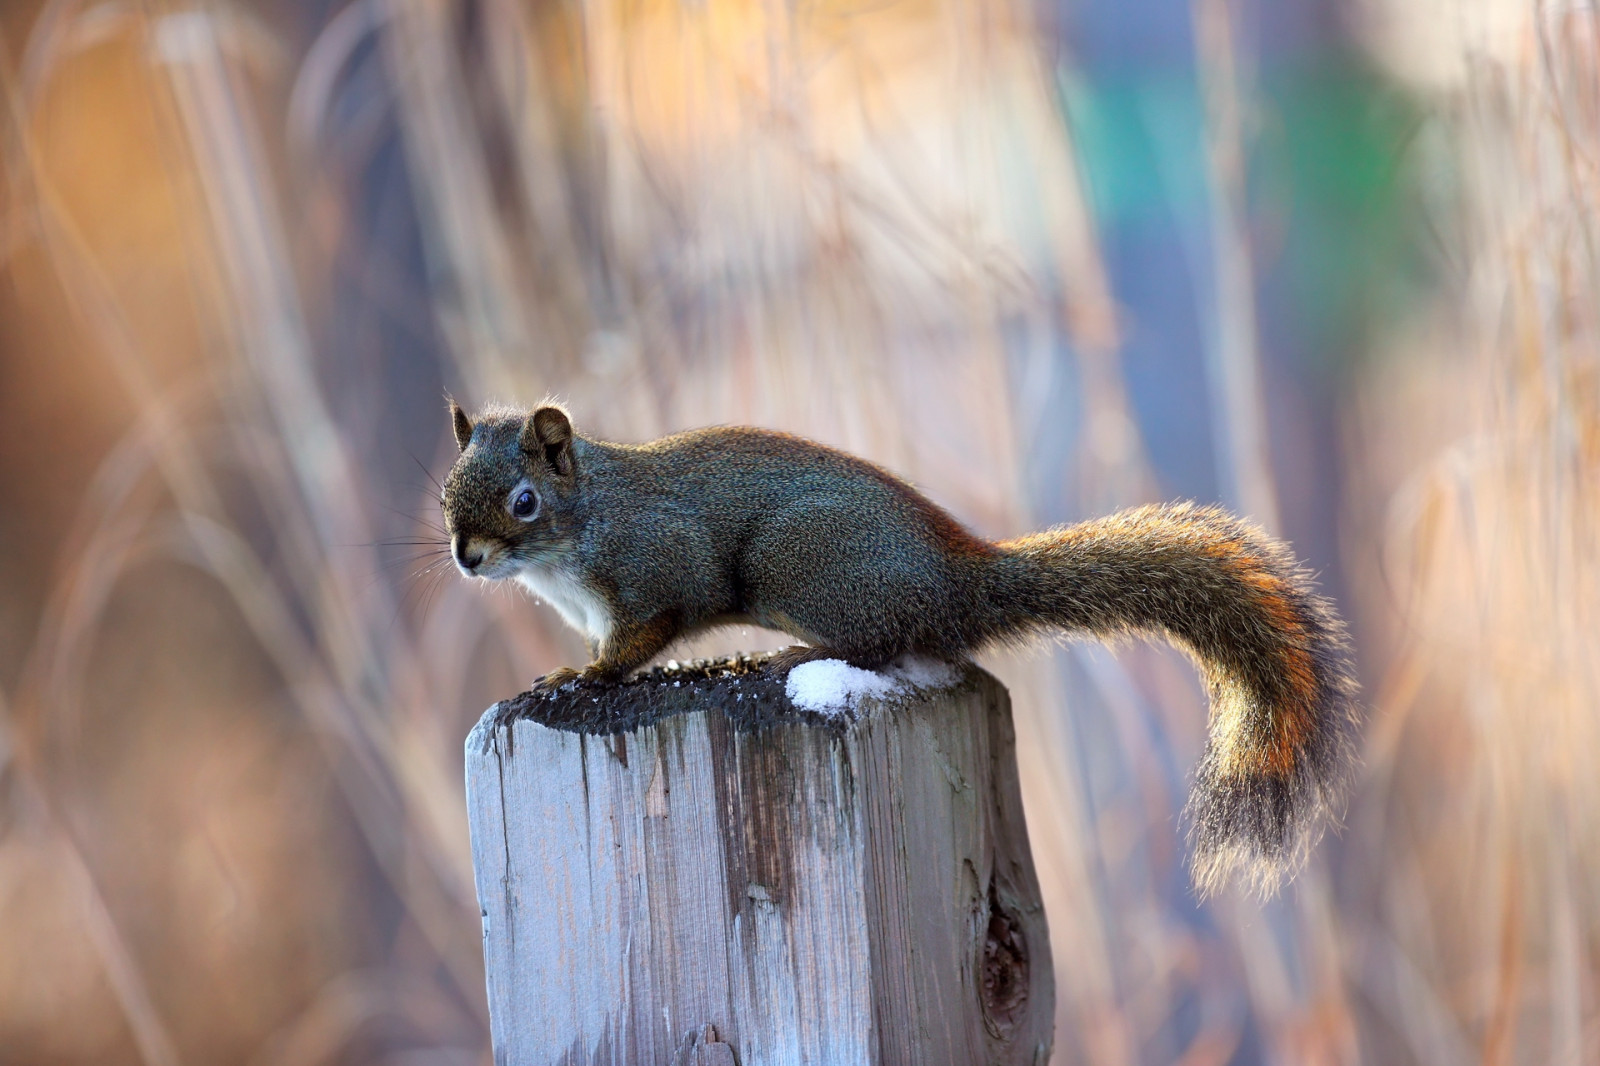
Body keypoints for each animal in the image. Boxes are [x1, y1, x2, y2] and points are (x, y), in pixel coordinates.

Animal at [440, 400, 1359, 895]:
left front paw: (580, 676)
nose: (465, 558)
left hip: (800, 564)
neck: (579, 529)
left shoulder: (657, 570)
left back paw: (791, 661)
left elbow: (641, 638)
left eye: (523, 501)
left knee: (883, 643)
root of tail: (958, 578)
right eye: (447, 492)